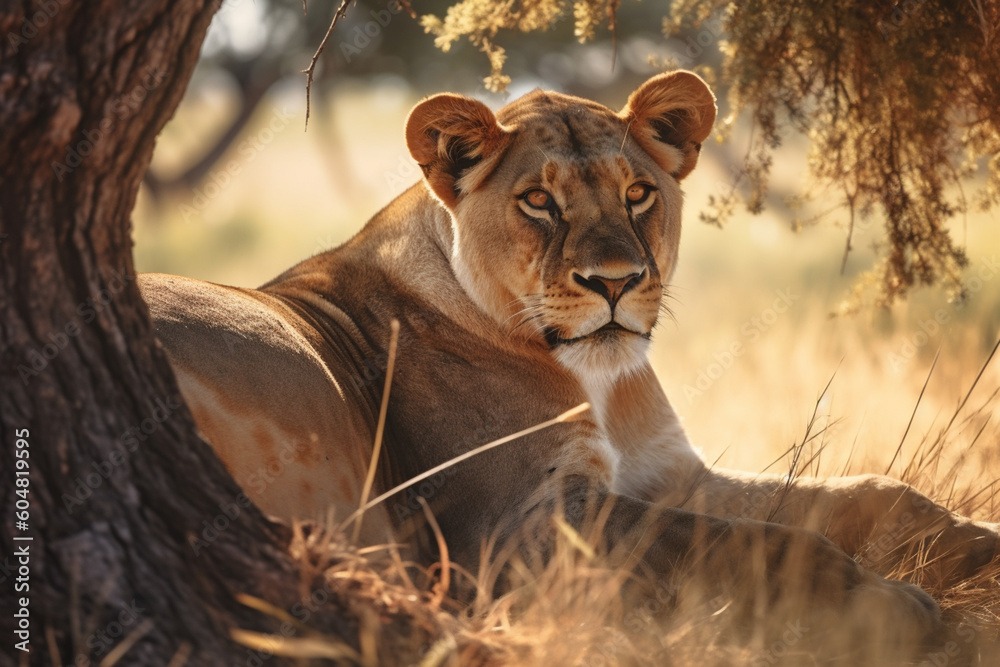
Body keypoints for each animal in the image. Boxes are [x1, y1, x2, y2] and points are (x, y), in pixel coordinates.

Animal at [139, 71, 998, 649]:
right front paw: (890, 604)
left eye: (638, 193)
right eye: (538, 202)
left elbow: (857, 497)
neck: (602, 381)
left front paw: (975, 539)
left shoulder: (671, 471)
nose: (614, 282)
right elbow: (751, 540)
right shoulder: (513, 529)